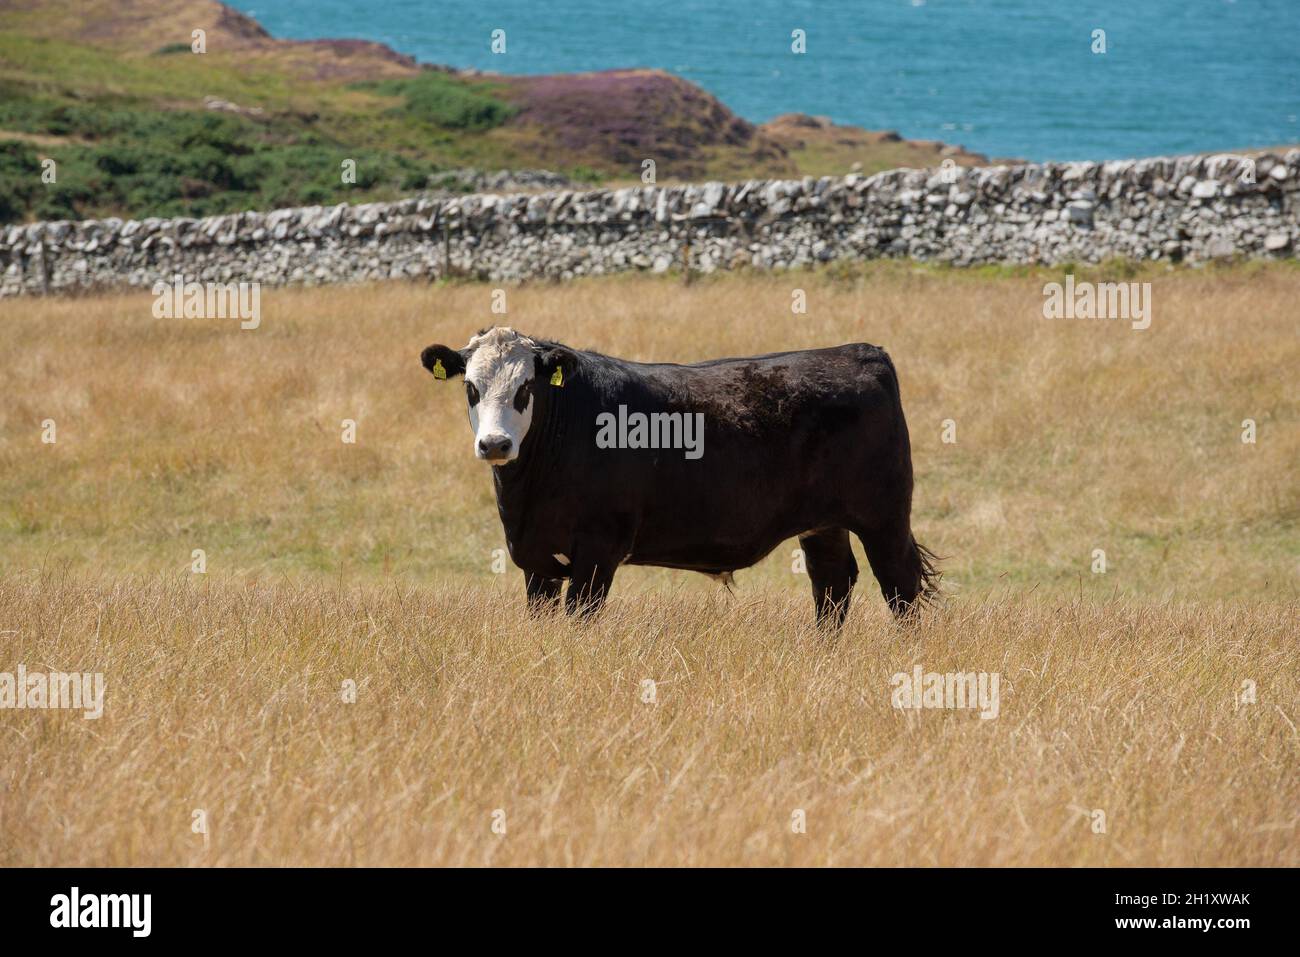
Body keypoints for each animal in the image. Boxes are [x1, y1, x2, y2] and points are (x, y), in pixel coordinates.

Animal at [420, 327, 939, 627]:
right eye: (471, 388)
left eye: (526, 387)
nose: (495, 444)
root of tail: (858, 351)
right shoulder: (538, 559)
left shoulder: (598, 551)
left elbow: (581, 620)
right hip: (823, 523)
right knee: (832, 582)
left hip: (884, 516)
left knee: (899, 583)